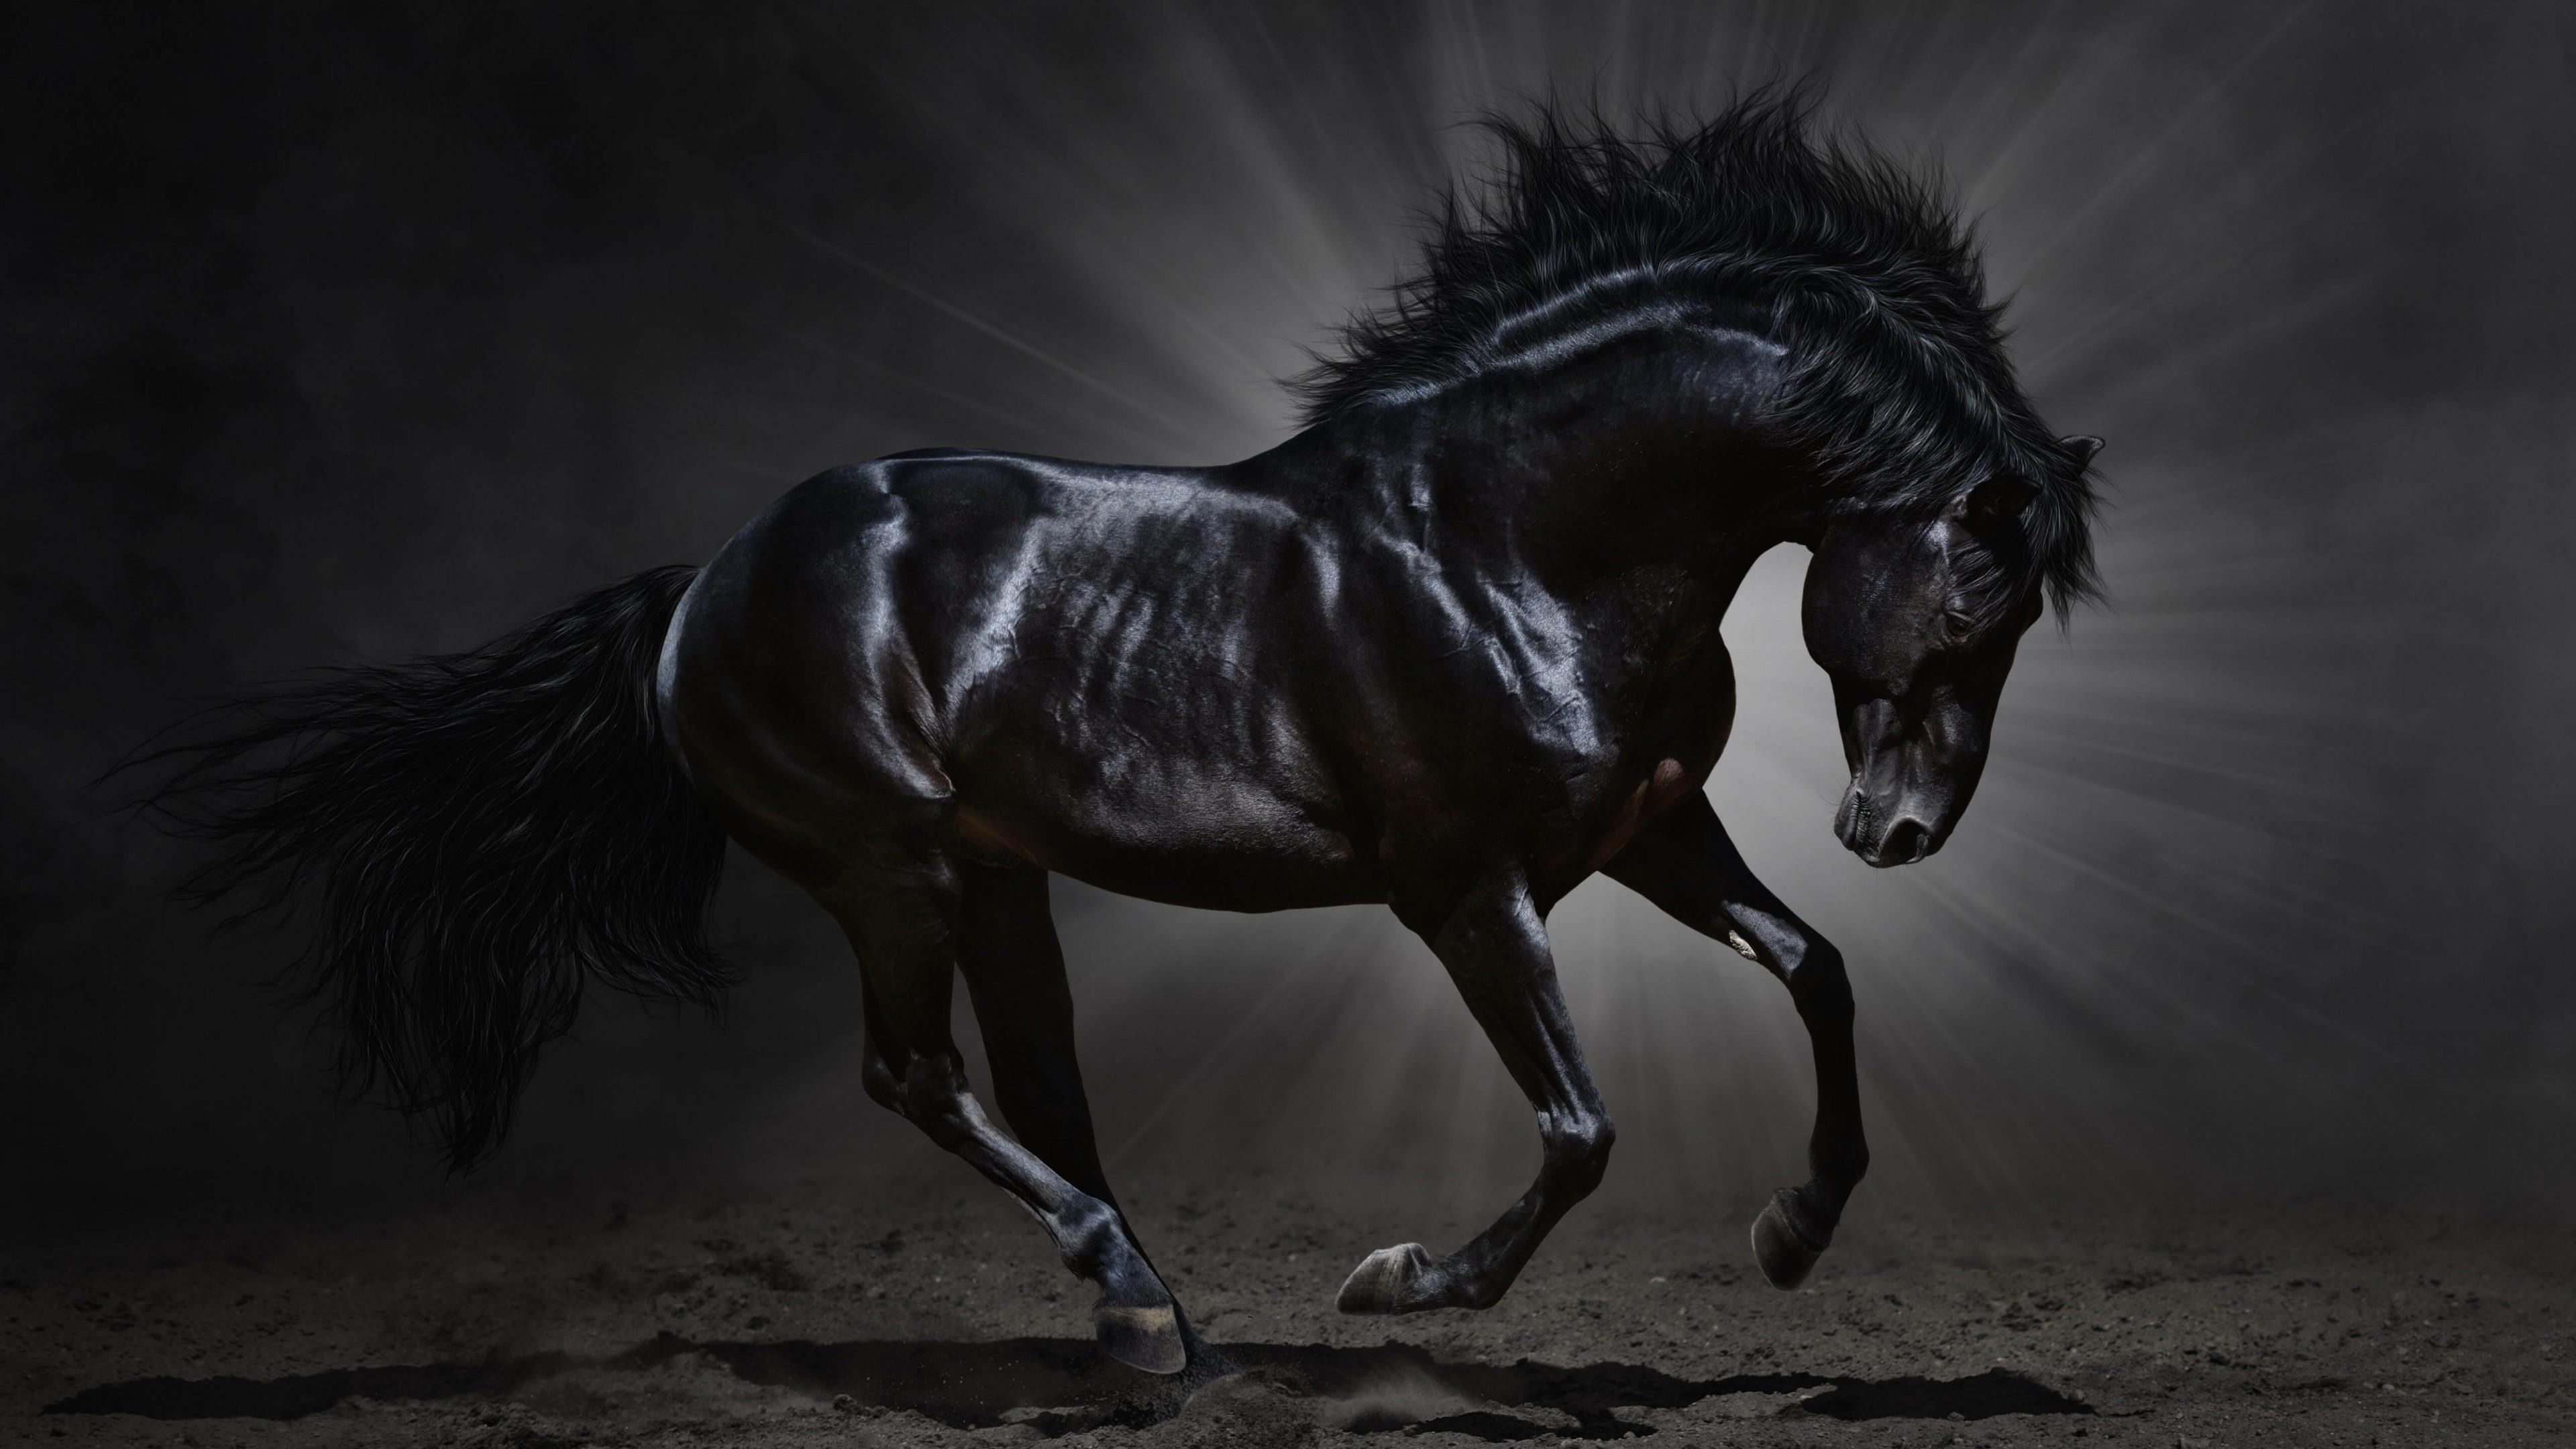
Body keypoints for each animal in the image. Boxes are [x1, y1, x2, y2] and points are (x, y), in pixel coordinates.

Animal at [133, 93, 2101, 1376]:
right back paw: (1137, 1303)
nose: (1897, 830)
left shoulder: (1646, 832)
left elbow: (1817, 971)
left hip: (993, 876)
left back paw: (1148, 1313)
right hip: (890, 868)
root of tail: (703, 585)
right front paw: (1398, 1285)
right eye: (1972, 602)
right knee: (918, 1077)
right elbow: (1580, 1127)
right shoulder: (1467, 890)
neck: (1509, 541)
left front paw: (1792, 1232)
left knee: (1038, 1084)